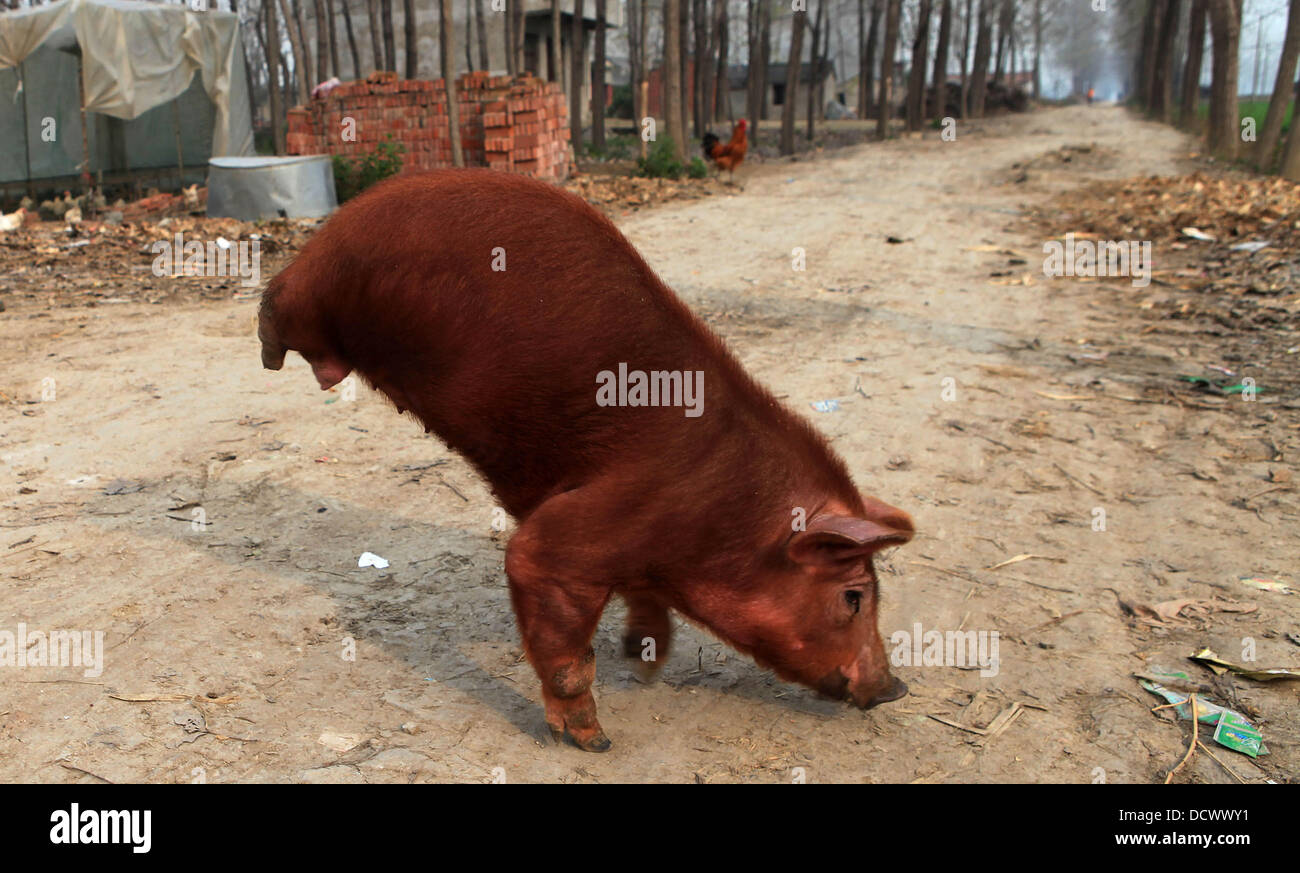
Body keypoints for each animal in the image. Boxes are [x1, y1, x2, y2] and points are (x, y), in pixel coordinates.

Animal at [258, 169, 915, 752]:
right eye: (854, 596)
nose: (896, 688)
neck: (721, 521)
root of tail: (342, 219)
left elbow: (646, 610)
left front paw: (646, 662)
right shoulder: (571, 535)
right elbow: (560, 634)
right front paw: (592, 742)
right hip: (317, 297)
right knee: (276, 306)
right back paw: (279, 354)